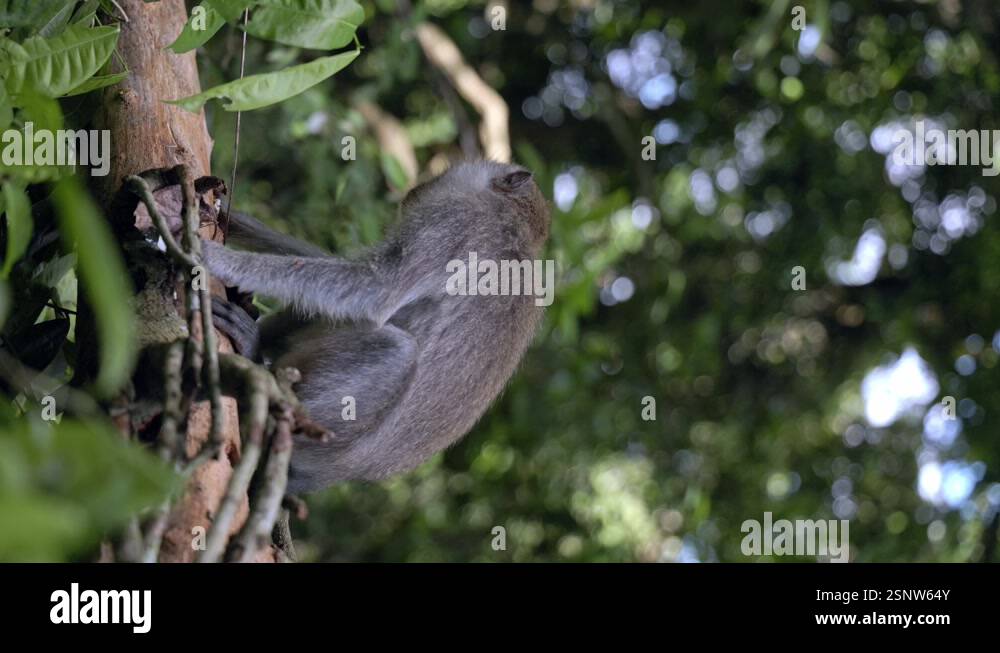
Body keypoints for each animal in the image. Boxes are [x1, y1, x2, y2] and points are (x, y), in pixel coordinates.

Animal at [201, 160, 551, 492]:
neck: (518, 222)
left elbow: (375, 288)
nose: (417, 185)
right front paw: (232, 217)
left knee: (398, 351)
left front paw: (218, 259)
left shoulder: (457, 221)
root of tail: (330, 475)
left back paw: (255, 366)